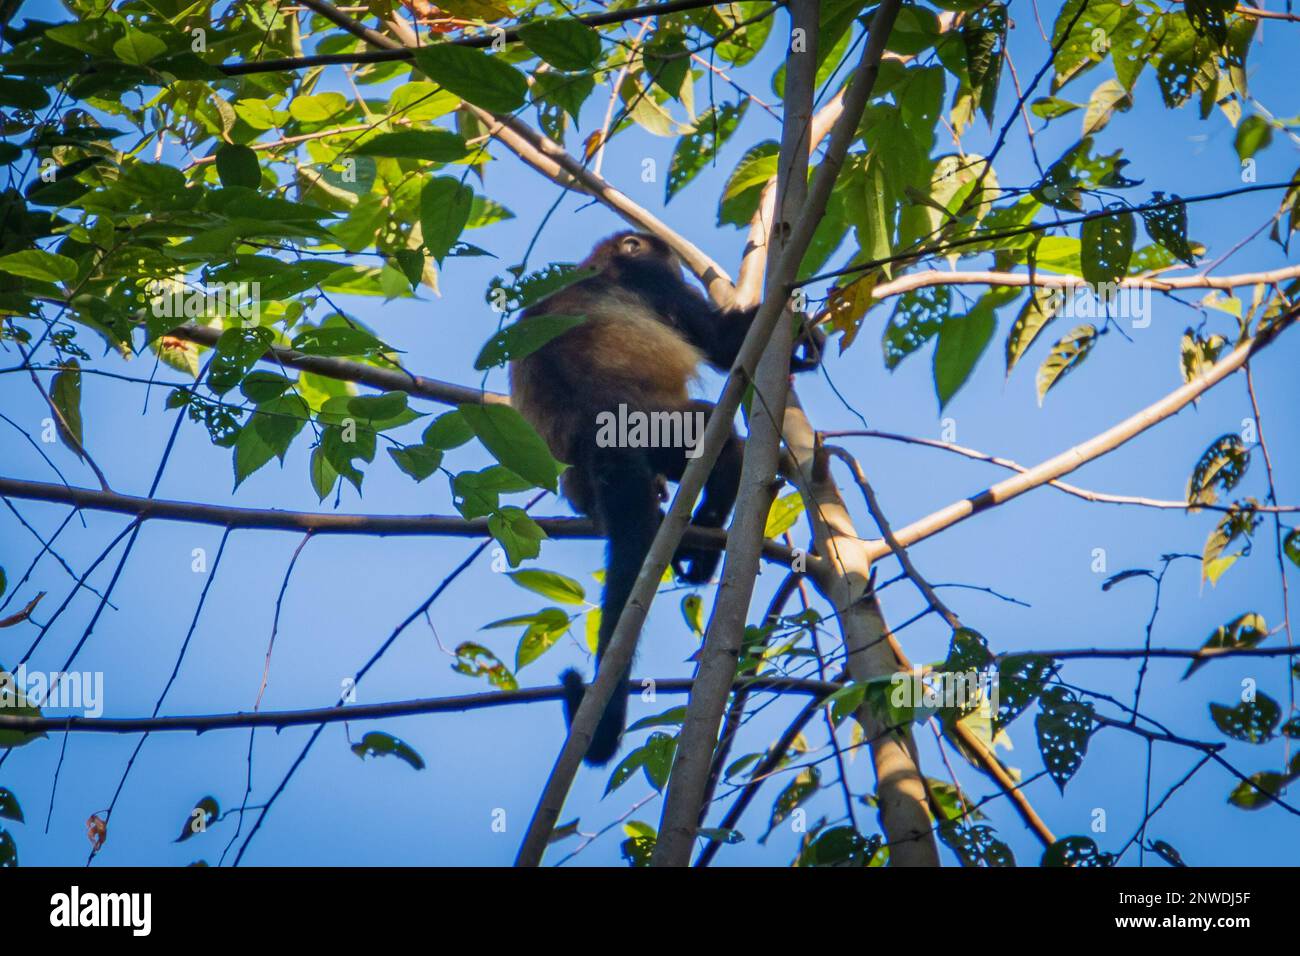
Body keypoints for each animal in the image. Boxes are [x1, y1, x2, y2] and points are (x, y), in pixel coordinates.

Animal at [508, 231, 822, 766]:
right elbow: (724, 343)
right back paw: (710, 521)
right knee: (720, 437)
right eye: (661, 257)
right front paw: (798, 324)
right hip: (659, 423)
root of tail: (594, 430)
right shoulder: (651, 282)